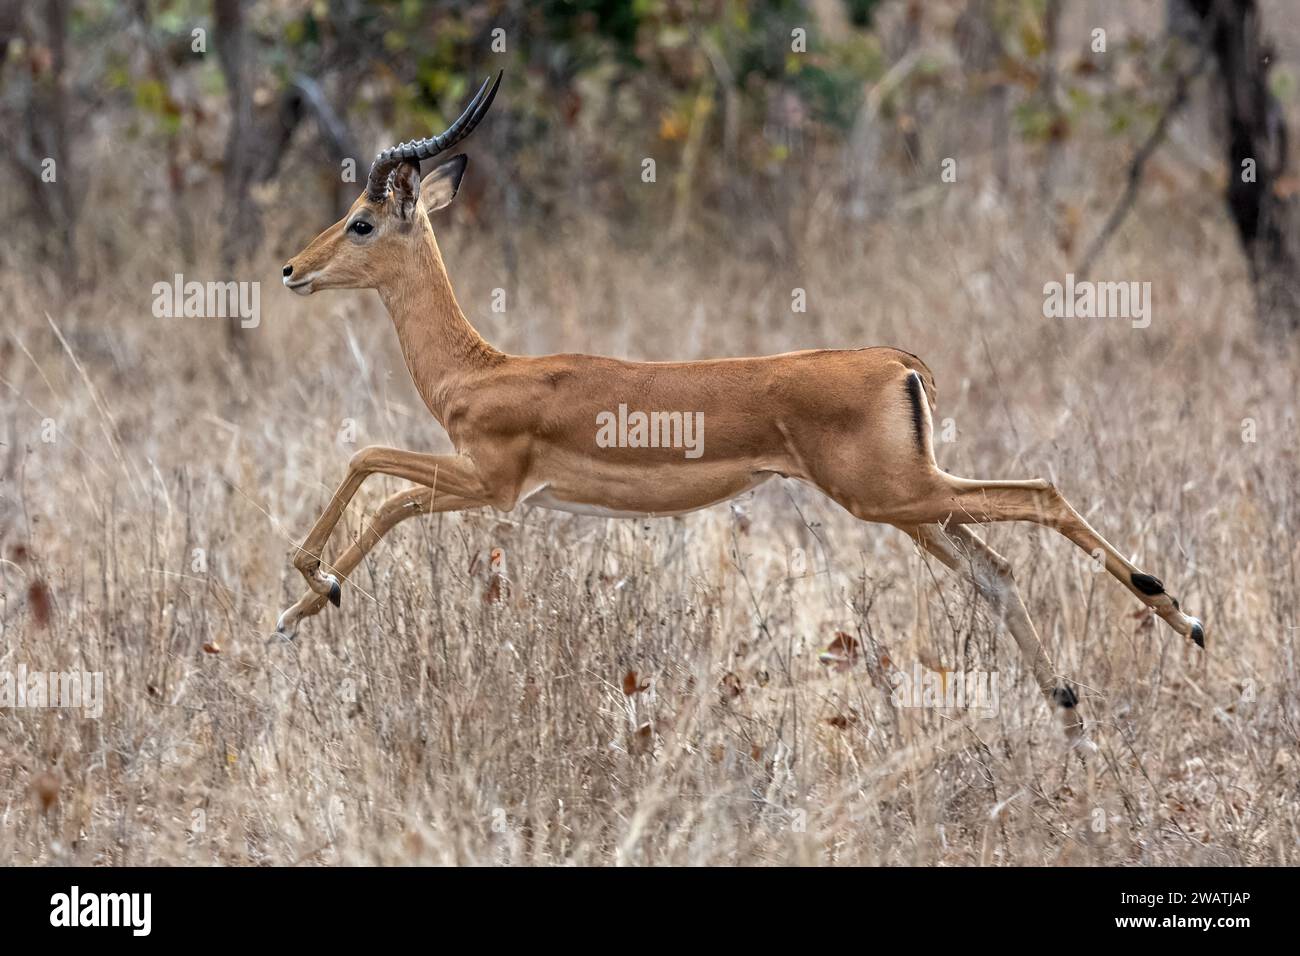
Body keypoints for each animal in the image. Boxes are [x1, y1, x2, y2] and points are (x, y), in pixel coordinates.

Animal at [277, 73, 1203, 740]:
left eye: (362, 222)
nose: (291, 271)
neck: (479, 370)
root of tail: (898, 362)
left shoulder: (492, 484)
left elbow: (376, 476)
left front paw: (304, 600)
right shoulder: (495, 489)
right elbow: (377, 480)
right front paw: (307, 599)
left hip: (896, 496)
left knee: (1039, 495)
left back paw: (1183, 618)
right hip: (910, 508)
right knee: (999, 570)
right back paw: (1071, 710)